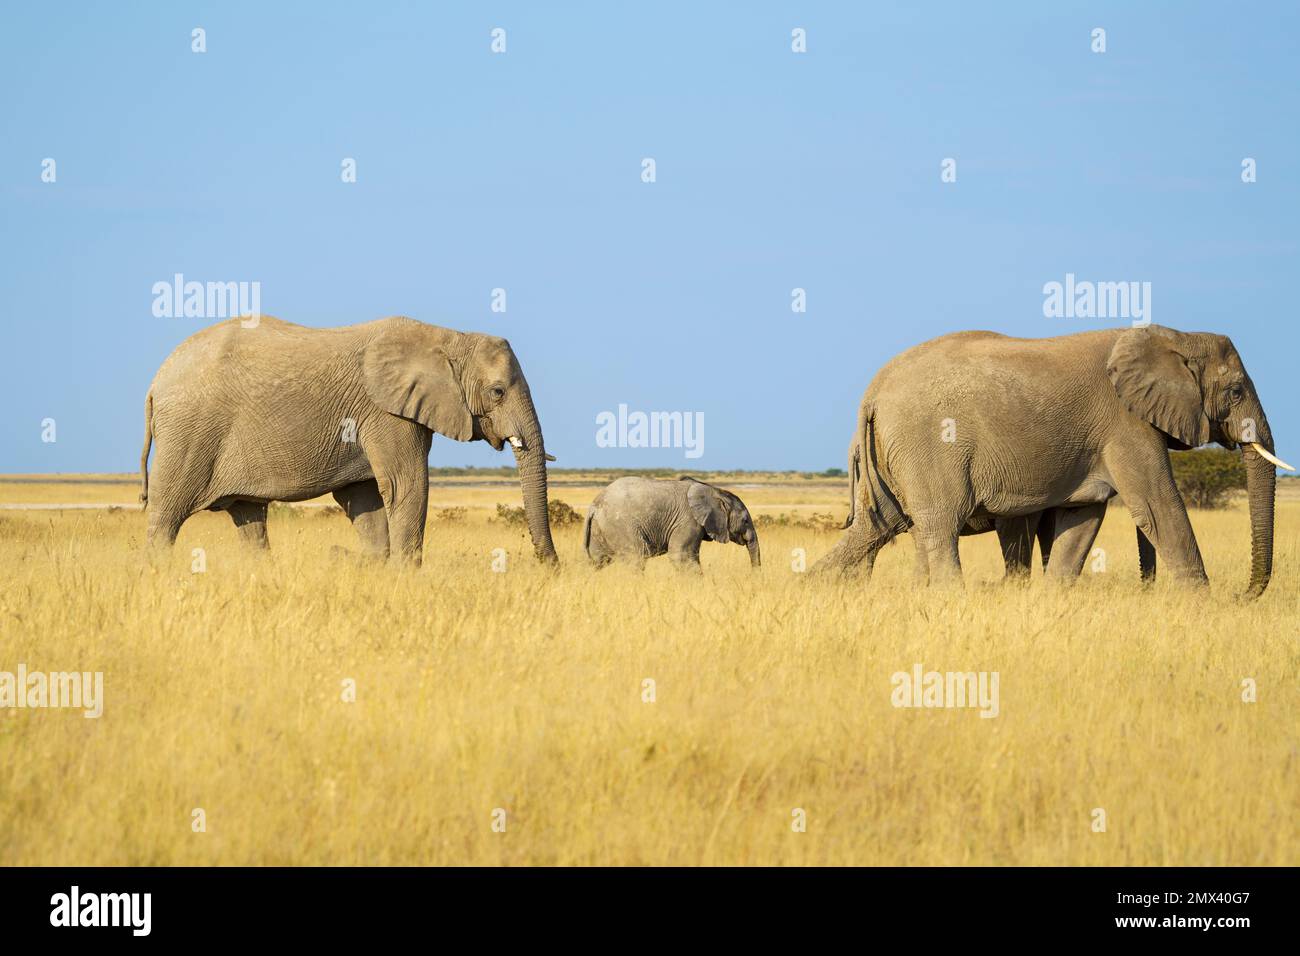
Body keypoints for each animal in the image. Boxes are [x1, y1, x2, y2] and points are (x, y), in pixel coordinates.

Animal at [139, 315, 559, 564]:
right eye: (498, 392)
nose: (550, 567)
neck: (448, 338)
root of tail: (155, 383)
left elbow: (365, 500)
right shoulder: (386, 413)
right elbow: (406, 485)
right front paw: (406, 576)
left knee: (250, 519)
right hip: (189, 434)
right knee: (165, 519)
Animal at [582, 476, 761, 571]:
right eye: (745, 521)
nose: (752, 575)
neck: (715, 491)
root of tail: (594, 505)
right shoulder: (688, 521)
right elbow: (681, 556)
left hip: (600, 528)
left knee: (597, 561)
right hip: (620, 526)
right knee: (636, 558)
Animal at [813, 326, 1291, 595]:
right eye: (1235, 391)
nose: (1244, 594)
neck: (1174, 335)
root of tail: (872, 394)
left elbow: (1082, 518)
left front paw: (1054, 598)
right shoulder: (1124, 422)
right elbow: (1157, 504)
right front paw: (1202, 604)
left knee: (874, 528)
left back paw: (816, 587)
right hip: (927, 444)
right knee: (938, 525)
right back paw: (947, 598)